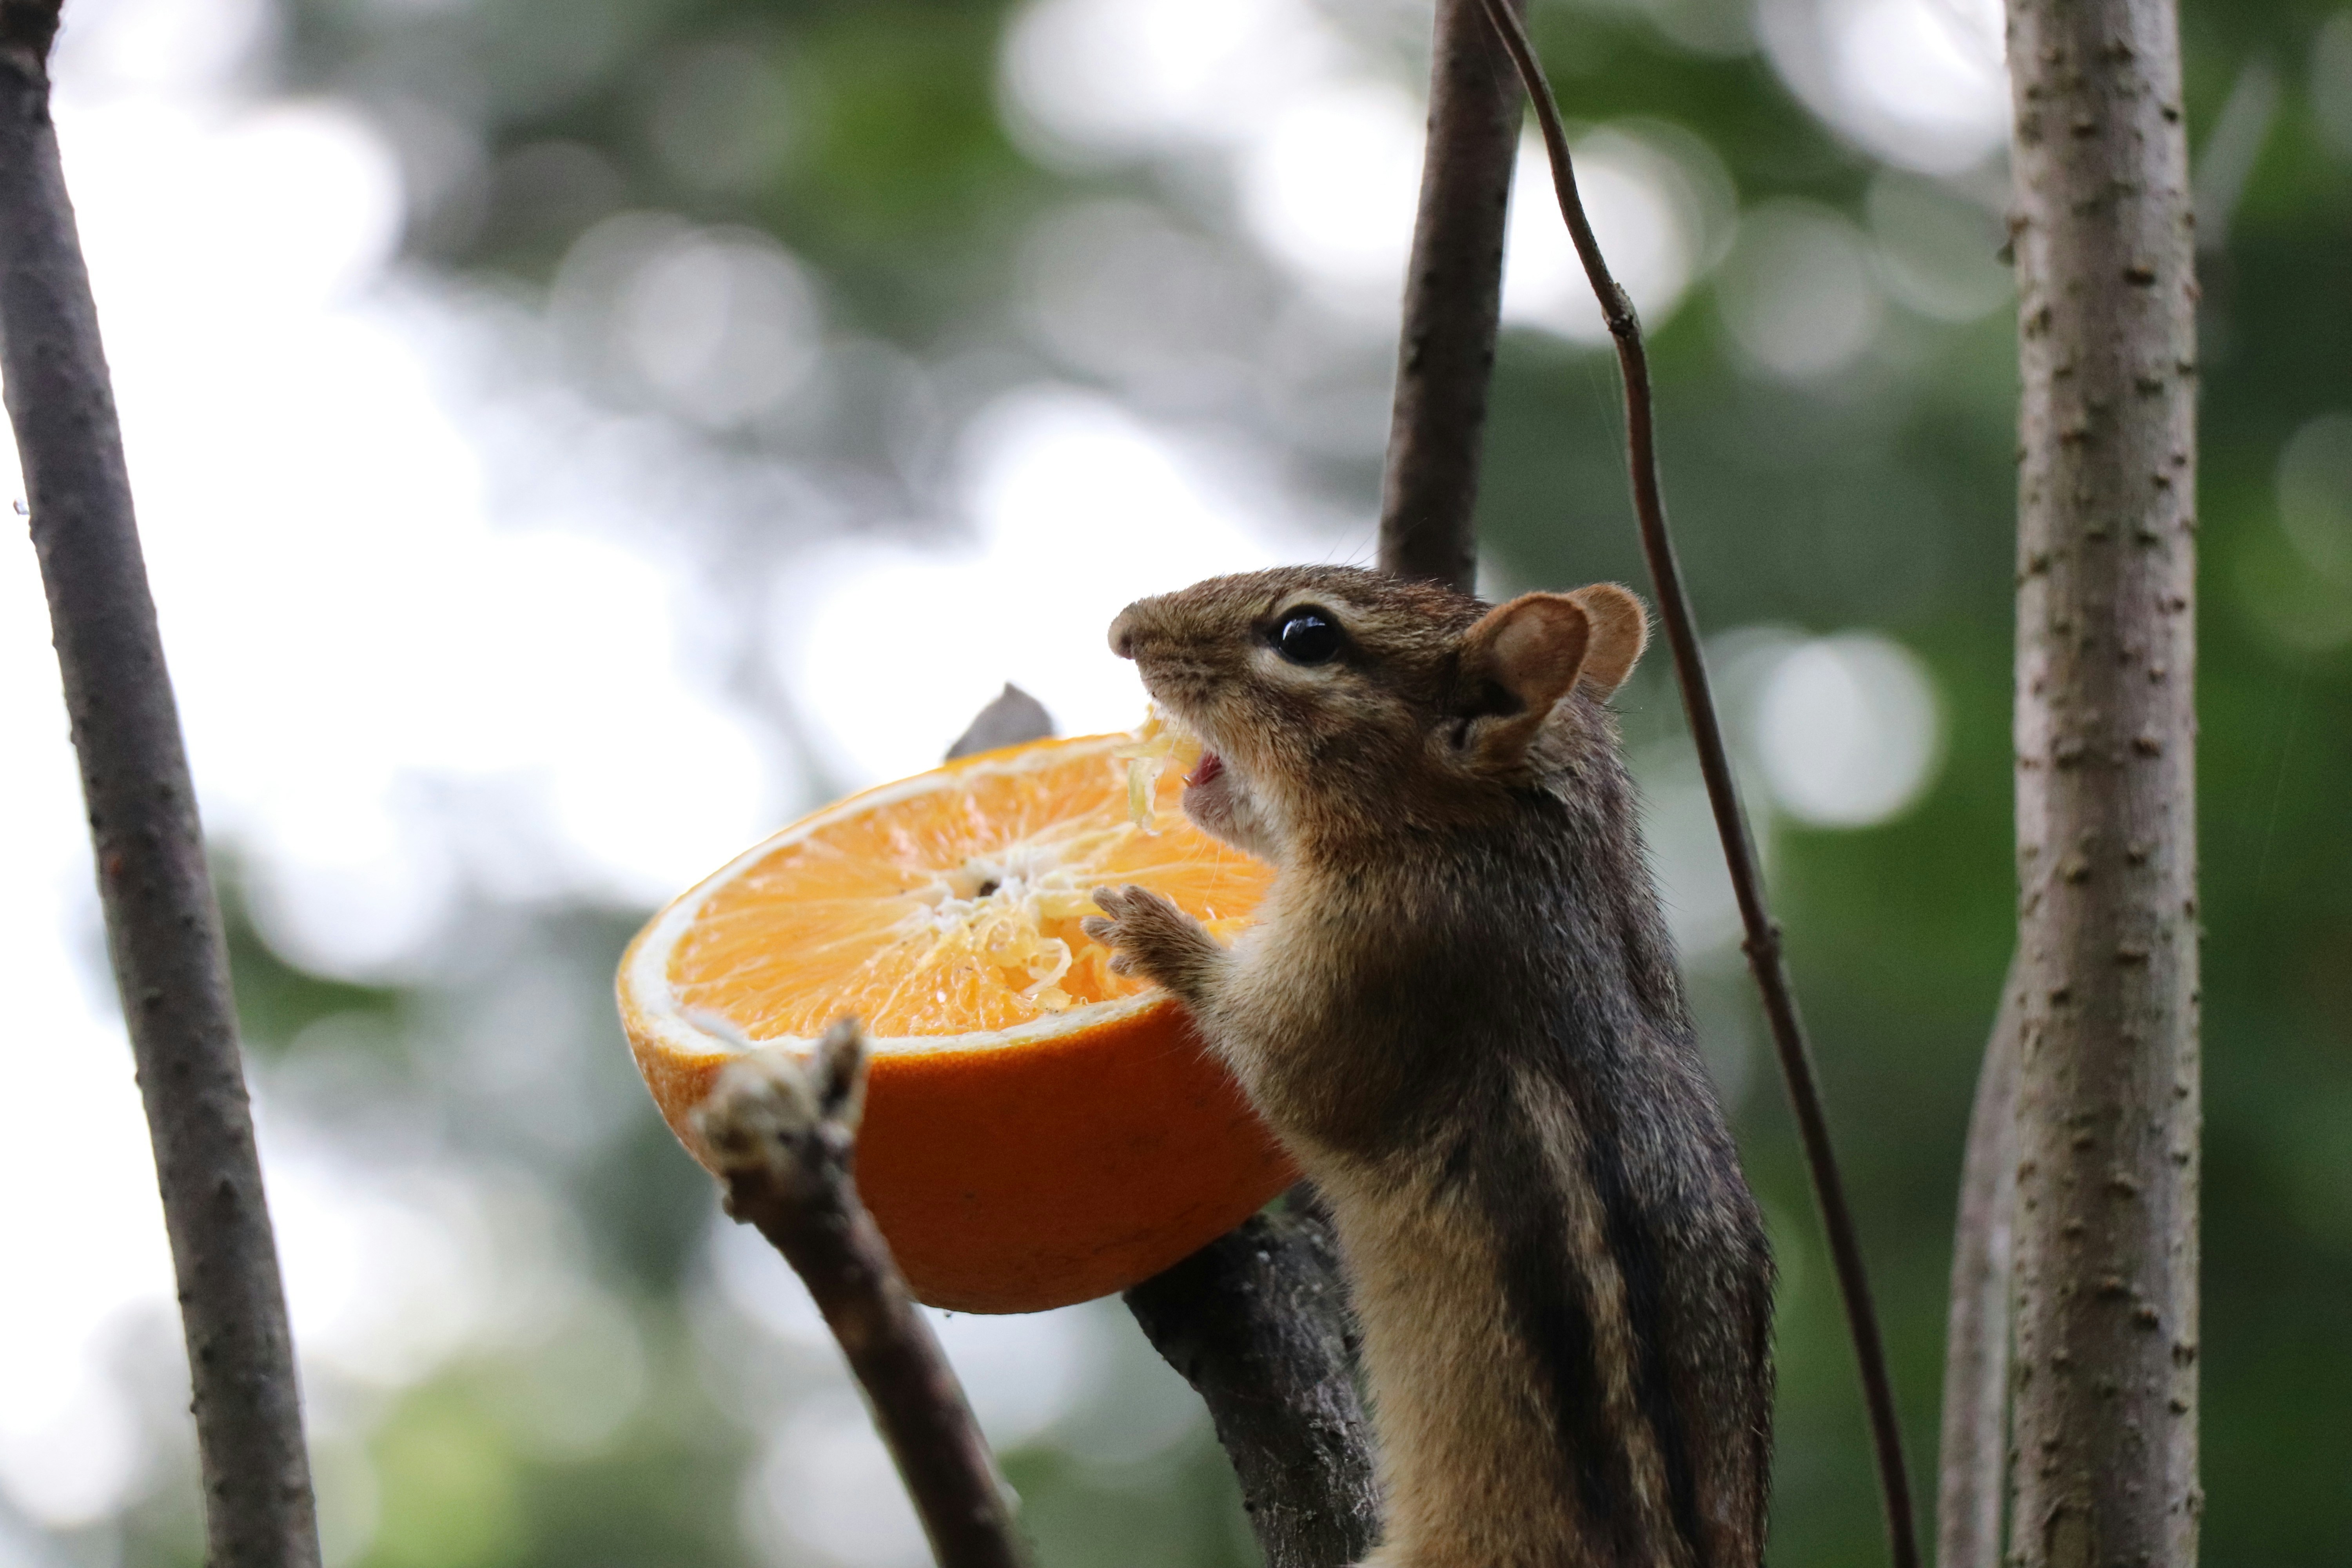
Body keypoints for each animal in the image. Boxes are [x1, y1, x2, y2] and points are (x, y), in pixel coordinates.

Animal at [1080, 565, 1773, 1568]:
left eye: (1305, 634)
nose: (1125, 630)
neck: (1502, 837)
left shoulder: (1374, 955)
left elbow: (1280, 1058)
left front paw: (1152, 929)